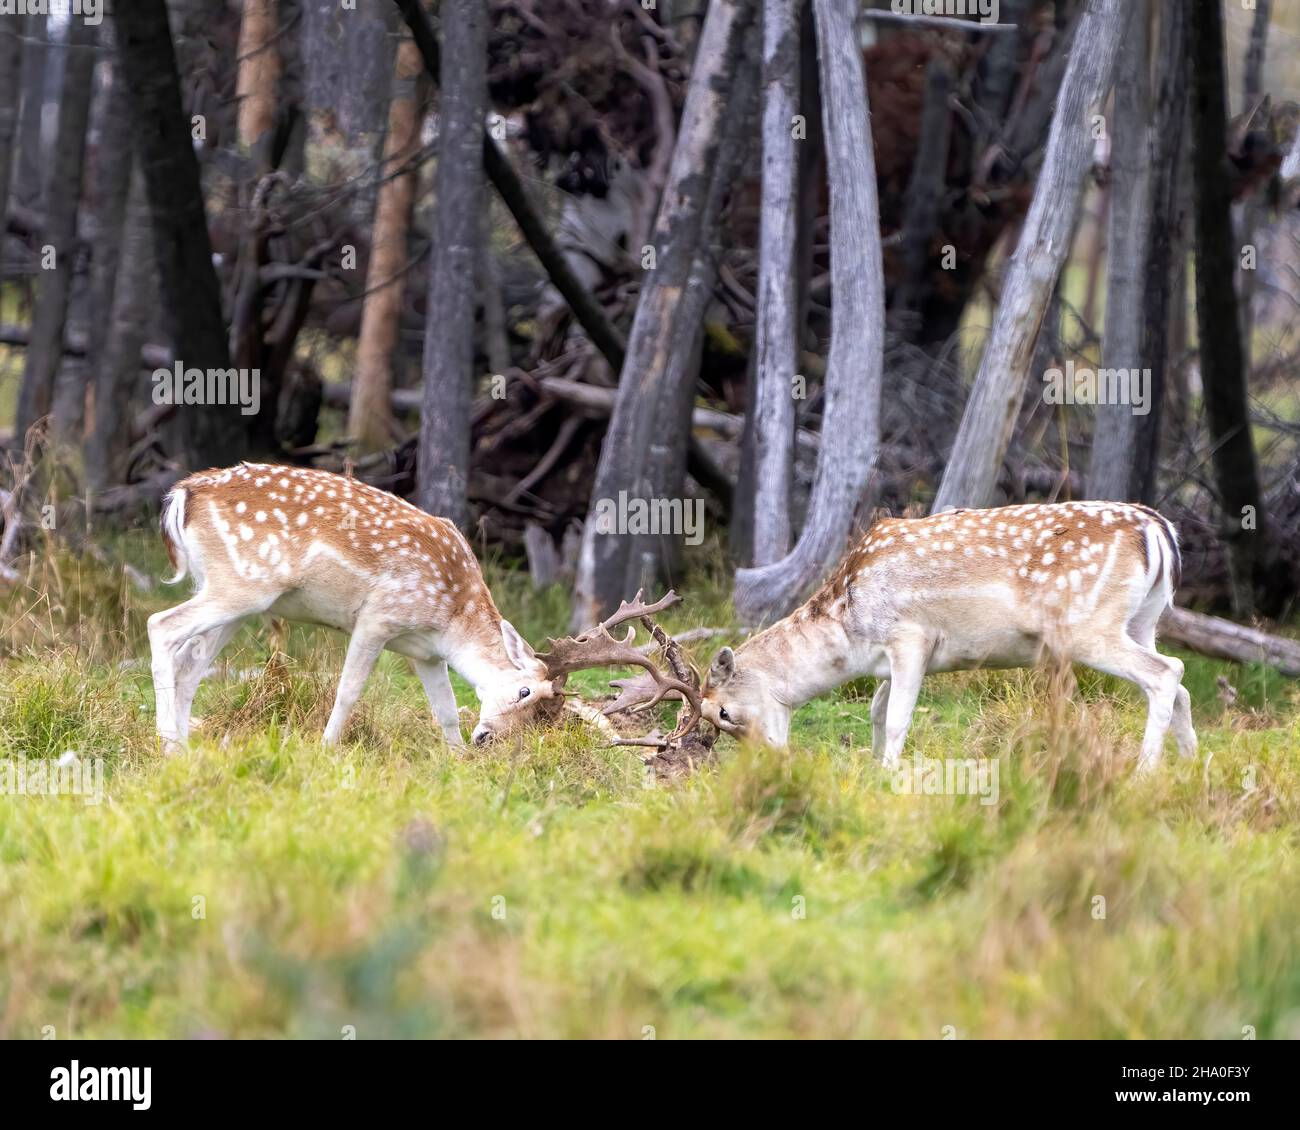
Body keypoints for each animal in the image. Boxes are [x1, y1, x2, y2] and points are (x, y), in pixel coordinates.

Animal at [148, 464, 703, 752]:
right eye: (525, 690)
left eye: (540, 715)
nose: (488, 739)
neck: (451, 619)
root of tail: (183, 495)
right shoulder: (379, 617)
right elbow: (349, 690)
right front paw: (326, 751)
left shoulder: (425, 653)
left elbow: (445, 712)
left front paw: (456, 760)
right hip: (240, 586)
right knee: (160, 625)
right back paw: (167, 743)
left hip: (234, 596)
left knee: (191, 663)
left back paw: (183, 747)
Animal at [697, 501, 1198, 772]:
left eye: (723, 712)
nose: (766, 759)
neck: (851, 629)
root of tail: (1159, 531)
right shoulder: (888, 658)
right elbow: (876, 711)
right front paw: (874, 767)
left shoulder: (910, 637)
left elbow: (897, 717)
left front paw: (890, 773)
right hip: (1143, 621)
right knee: (1182, 685)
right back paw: (1190, 764)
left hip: (1090, 626)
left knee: (1167, 671)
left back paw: (1144, 771)